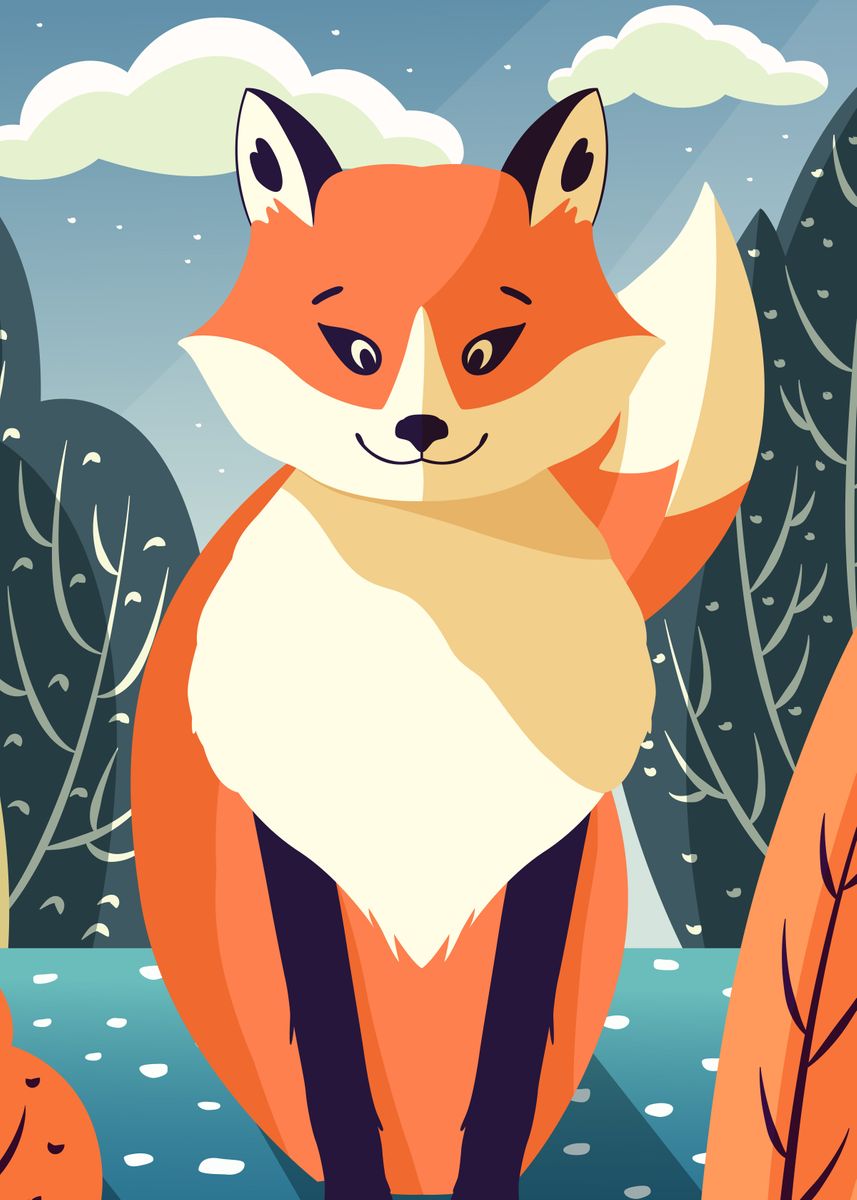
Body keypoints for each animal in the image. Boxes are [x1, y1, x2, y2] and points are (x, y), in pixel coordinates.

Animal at [131, 86, 763, 1198]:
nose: (420, 431)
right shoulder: (292, 845)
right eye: (353, 349)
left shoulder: (544, 851)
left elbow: (503, 1070)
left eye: (487, 350)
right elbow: (335, 1071)